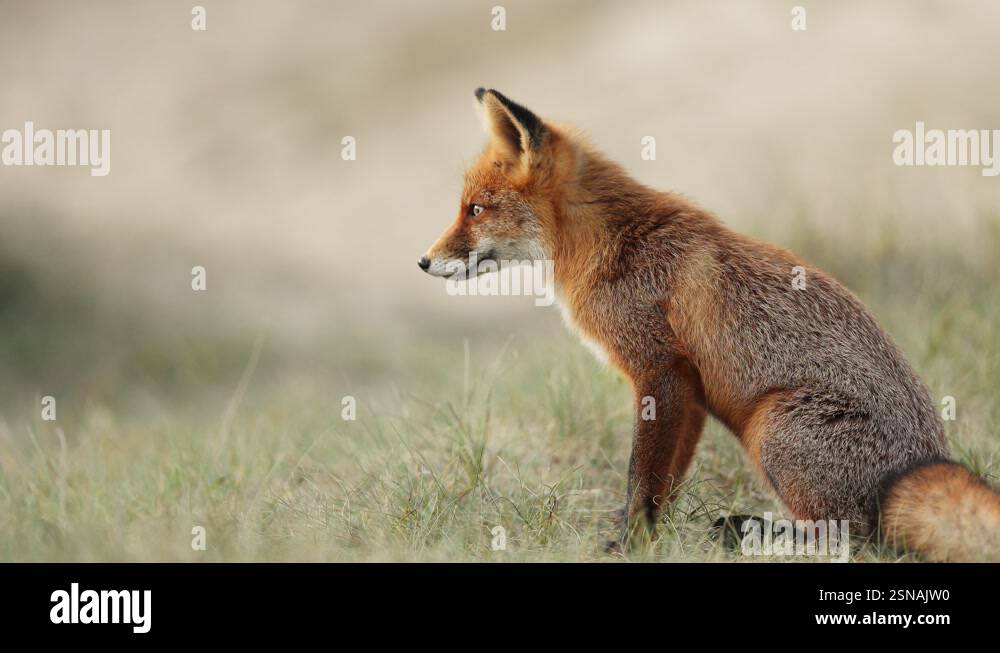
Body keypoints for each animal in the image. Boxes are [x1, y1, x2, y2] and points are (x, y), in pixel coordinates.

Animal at [418, 88, 1000, 561]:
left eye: (475, 209)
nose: (423, 262)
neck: (613, 245)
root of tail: (928, 459)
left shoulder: (660, 372)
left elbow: (640, 477)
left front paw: (629, 545)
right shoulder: (689, 390)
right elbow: (666, 483)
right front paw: (653, 538)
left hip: (773, 429)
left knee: (849, 540)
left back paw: (758, 535)